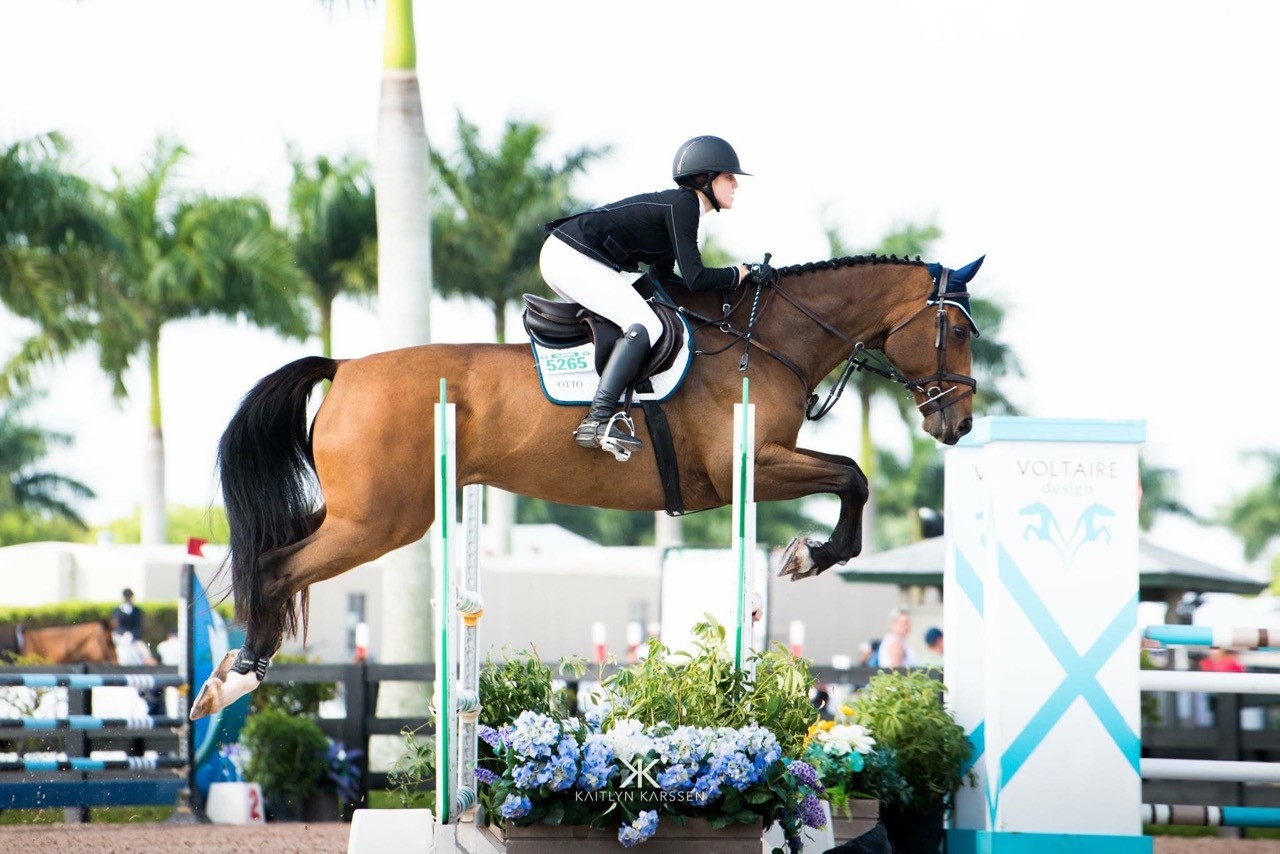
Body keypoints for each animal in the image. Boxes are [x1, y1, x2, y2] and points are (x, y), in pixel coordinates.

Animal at [190, 252, 983, 719]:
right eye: (956, 331)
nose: (959, 422)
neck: (766, 342)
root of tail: (347, 366)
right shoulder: (748, 465)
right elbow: (853, 475)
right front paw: (810, 555)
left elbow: (851, 476)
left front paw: (810, 553)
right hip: (378, 522)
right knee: (275, 566)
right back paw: (237, 676)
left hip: (359, 513)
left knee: (276, 555)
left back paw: (233, 671)